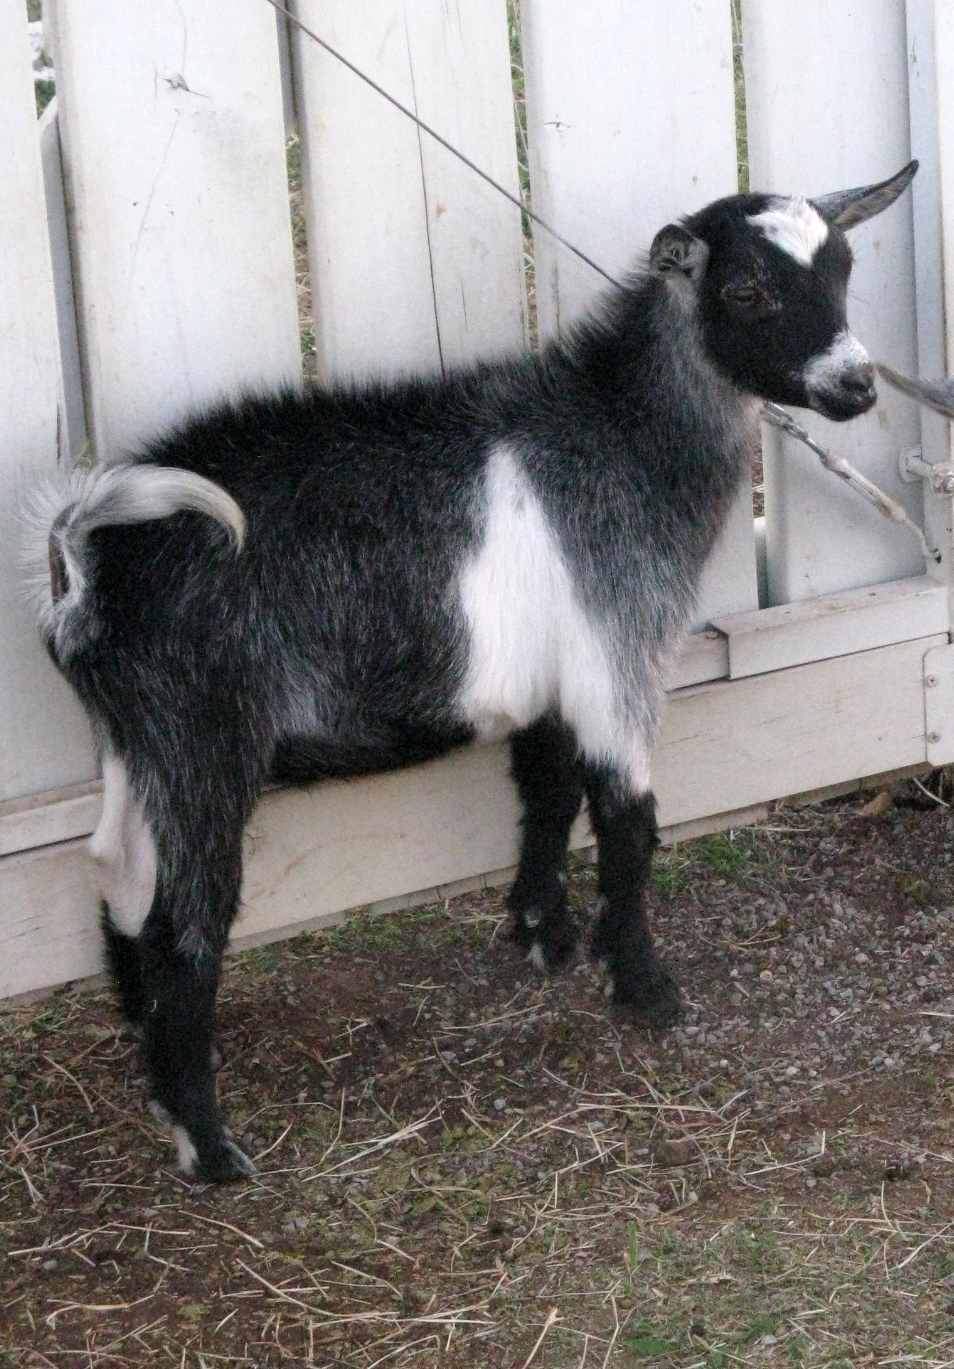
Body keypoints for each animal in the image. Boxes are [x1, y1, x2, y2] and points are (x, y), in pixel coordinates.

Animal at [30, 162, 916, 1181]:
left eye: (843, 267)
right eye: (746, 290)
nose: (855, 383)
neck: (616, 433)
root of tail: (82, 559)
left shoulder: (555, 671)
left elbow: (547, 788)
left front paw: (544, 934)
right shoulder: (616, 650)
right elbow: (627, 818)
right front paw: (645, 986)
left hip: (139, 739)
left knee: (118, 870)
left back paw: (146, 1044)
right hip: (200, 734)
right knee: (185, 918)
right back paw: (206, 1142)